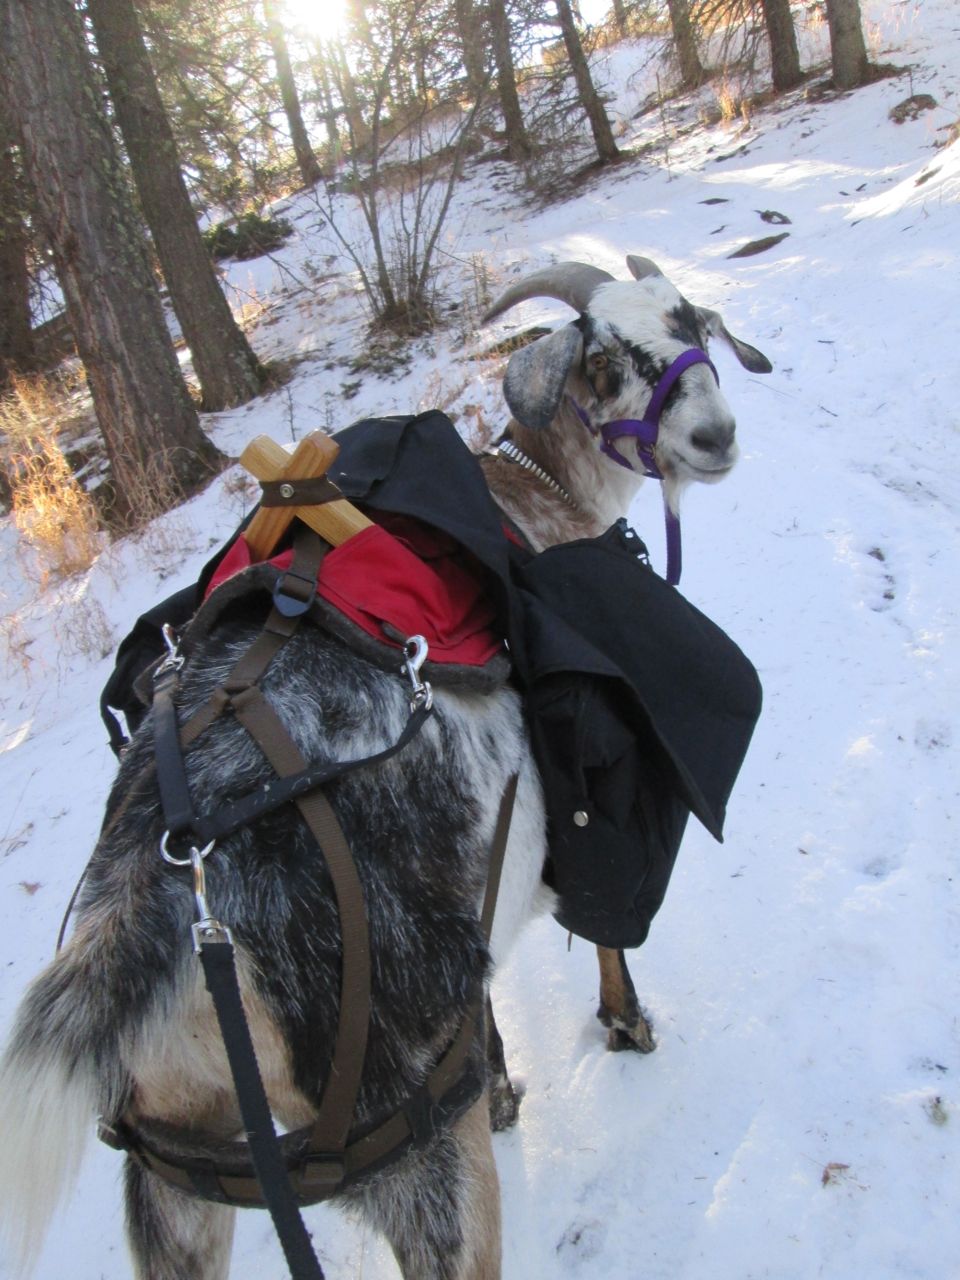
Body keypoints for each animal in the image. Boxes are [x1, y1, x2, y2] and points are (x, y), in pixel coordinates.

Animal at [0, 255, 769, 1280]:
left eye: (693, 327)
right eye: (605, 360)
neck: (537, 497)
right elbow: (607, 924)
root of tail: (156, 919)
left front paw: (503, 1079)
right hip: (416, 1152)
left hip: (174, 1182)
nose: (713, 436)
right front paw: (625, 1022)